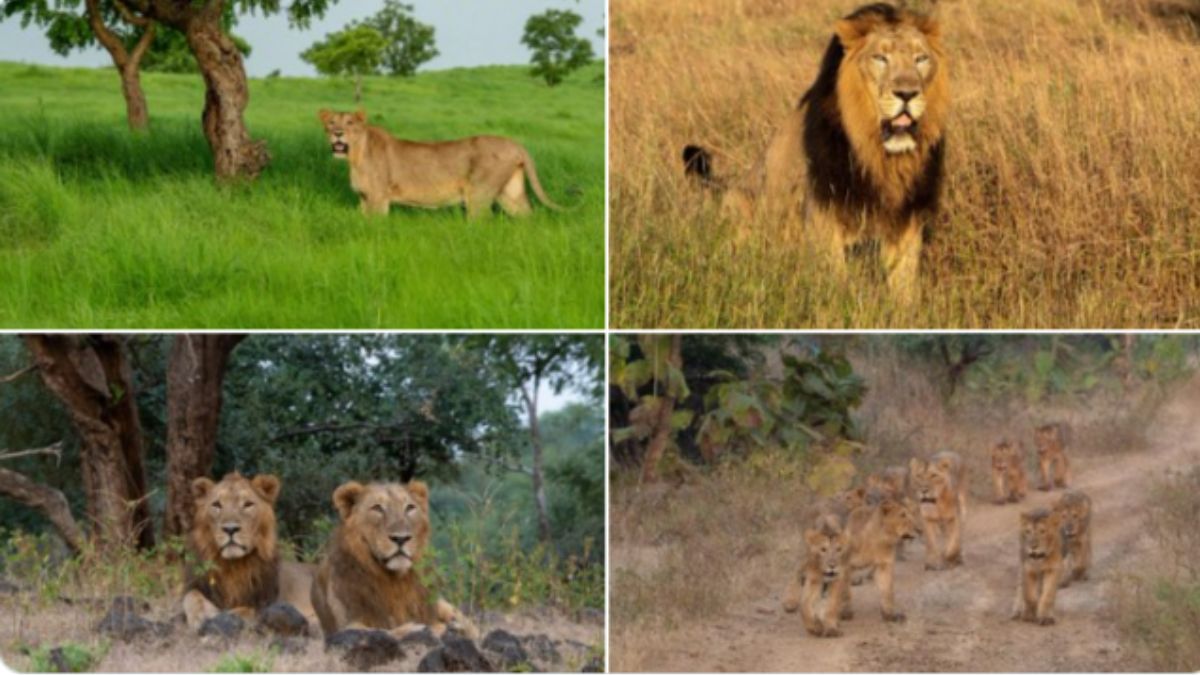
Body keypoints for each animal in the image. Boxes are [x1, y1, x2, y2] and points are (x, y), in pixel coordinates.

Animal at [183, 472, 317, 629]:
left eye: (247, 504)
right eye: (216, 505)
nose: (230, 529)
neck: (232, 567)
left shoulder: (265, 602)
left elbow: (246, 611)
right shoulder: (196, 585)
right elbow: (191, 596)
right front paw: (201, 614)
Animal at [309, 480, 476, 639]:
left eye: (409, 508)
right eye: (377, 508)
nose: (401, 538)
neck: (394, 582)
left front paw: (447, 627)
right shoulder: (345, 625)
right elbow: (381, 631)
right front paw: (420, 628)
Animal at [318, 109, 562, 218]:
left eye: (349, 123)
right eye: (331, 122)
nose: (337, 133)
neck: (355, 156)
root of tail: (515, 144)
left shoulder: (378, 197)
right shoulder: (364, 197)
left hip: (478, 194)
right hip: (510, 193)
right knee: (527, 215)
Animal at [682, 3, 948, 303]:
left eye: (920, 59)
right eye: (880, 58)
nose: (907, 93)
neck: (880, 157)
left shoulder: (906, 219)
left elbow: (904, 288)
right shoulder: (823, 218)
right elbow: (836, 284)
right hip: (739, 204)